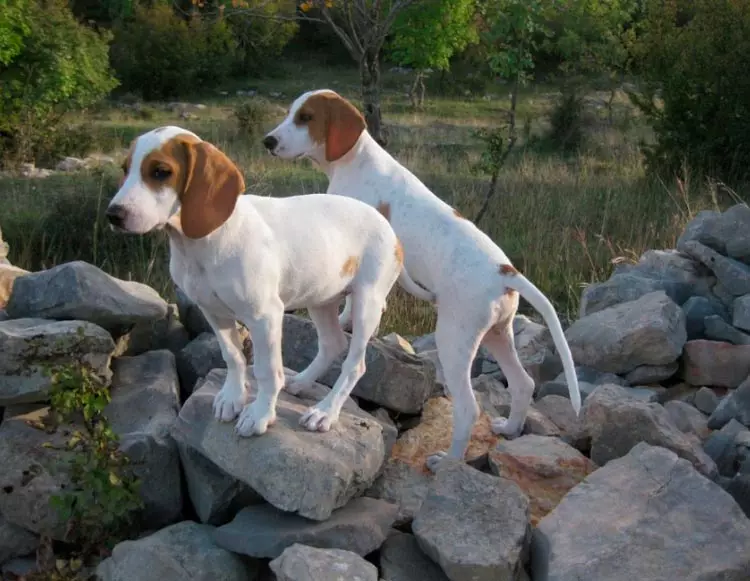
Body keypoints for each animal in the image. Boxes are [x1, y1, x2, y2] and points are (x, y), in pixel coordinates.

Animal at [106, 125, 434, 436]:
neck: (204, 243)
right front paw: (233, 397)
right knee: (333, 343)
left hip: (366, 304)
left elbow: (266, 371)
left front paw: (260, 415)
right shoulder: (213, 312)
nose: (113, 215)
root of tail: (388, 228)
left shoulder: (265, 316)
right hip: (321, 297)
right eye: (124, 168)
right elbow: (232, 356)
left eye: (161, 172)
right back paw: (302, 382)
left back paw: (325, 412)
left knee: (356, 365)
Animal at [264, 89, 588, 472]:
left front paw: (346, 320)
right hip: (497, 334)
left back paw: (448, 462)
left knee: (468, 408)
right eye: (291, 113)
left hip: (454, 340)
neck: (357, 163)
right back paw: (509, 428)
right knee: (522, 384)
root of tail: (507, 273)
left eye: (307, 118)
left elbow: (350, 305)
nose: (268, 141)